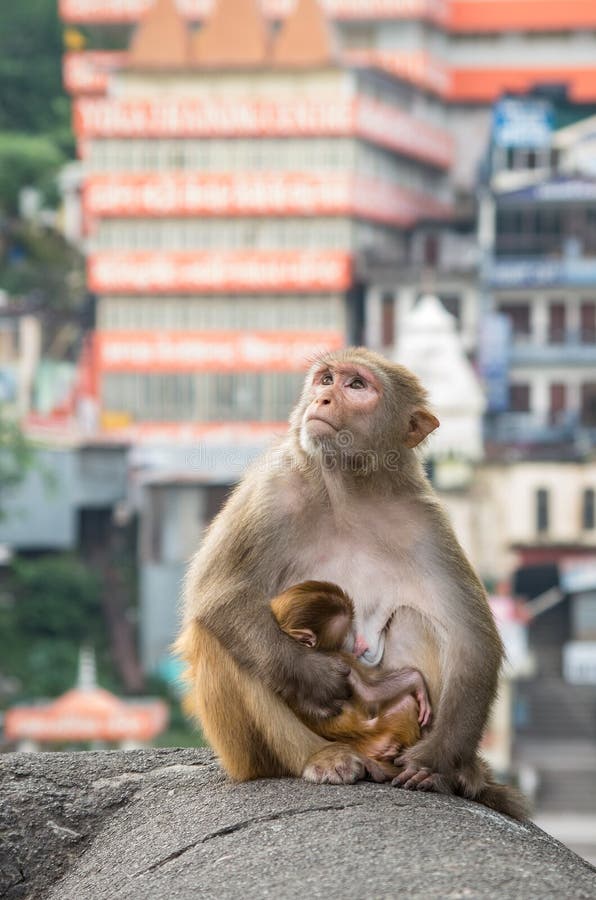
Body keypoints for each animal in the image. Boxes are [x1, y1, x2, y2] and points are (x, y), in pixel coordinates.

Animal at [270, 579, 431, 765]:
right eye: (343, 633)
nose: (352, 642)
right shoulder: (339, 660)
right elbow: (371, 693)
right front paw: (417, 681)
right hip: (382, 734)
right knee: (405, 702)